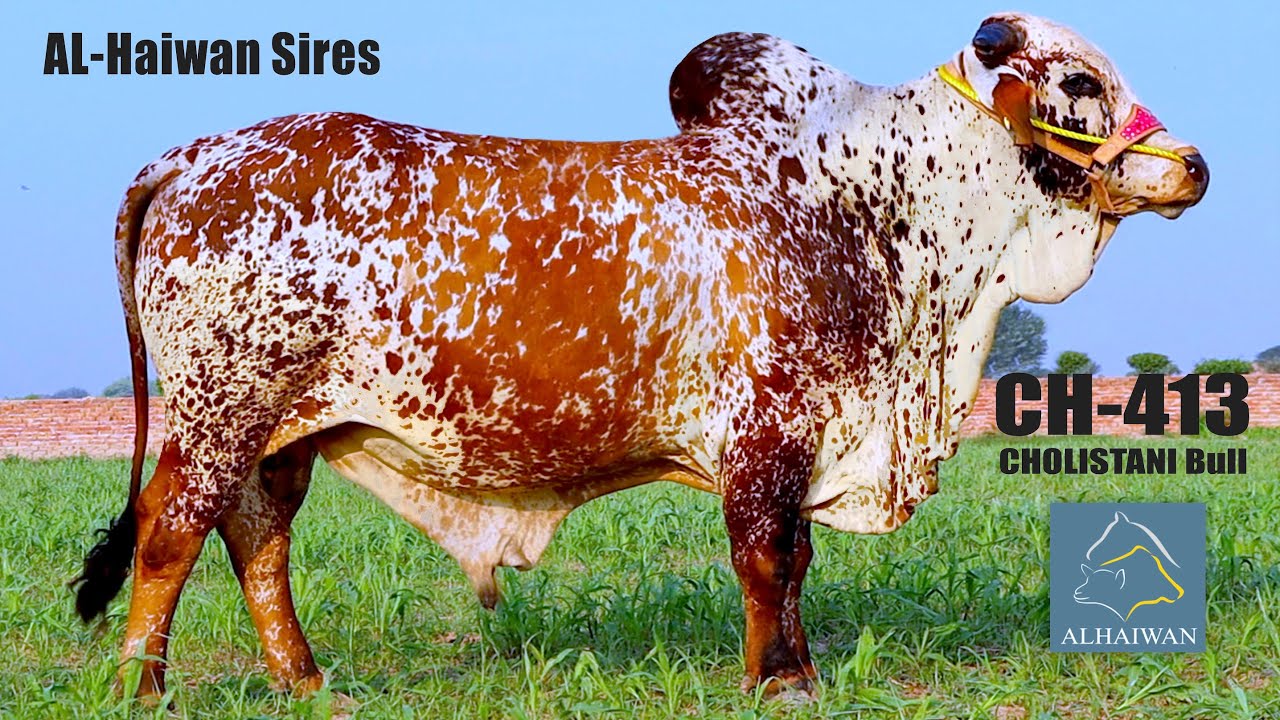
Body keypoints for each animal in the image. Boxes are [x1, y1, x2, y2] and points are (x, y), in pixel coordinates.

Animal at [73, 12, 1207, 700]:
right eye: (1078, 78)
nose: (1192, 164)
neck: (868, 204)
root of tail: (193, 155)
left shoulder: (801, 439)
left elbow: (796, 563)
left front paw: (797, 672)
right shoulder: (764, 437)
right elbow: (767, 558)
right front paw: (772, 682)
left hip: (284, 432)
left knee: (257, 540)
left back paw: (305, 682)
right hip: (223, 407)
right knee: (172, 533)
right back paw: (141, 685)